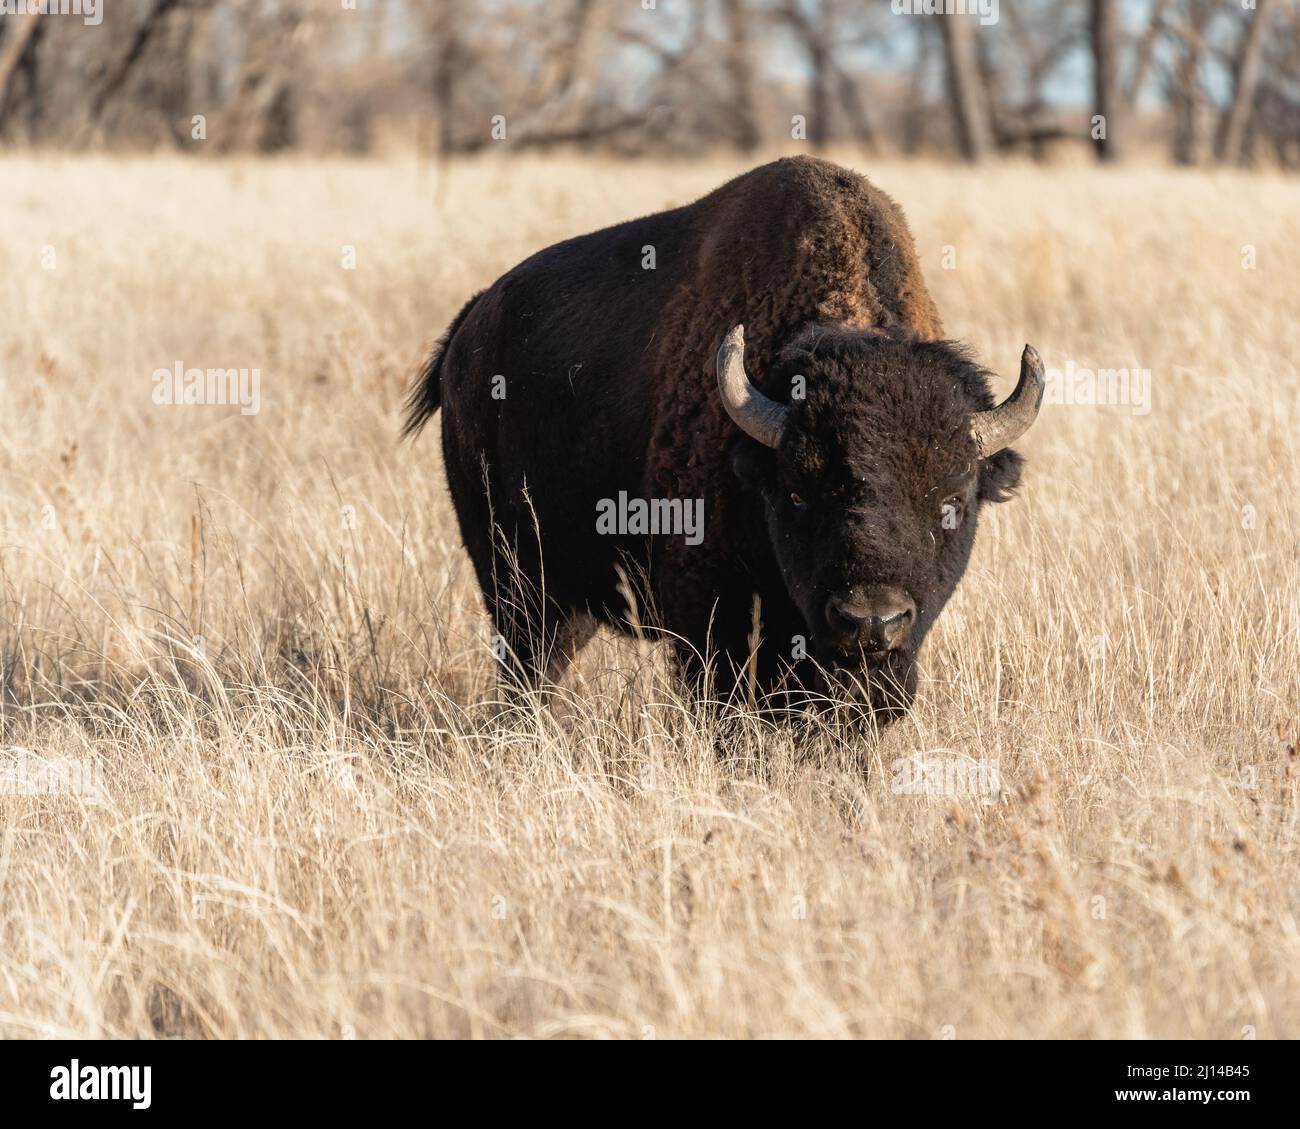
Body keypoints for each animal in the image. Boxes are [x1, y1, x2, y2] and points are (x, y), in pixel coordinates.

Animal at [406, 156, 1043, 721]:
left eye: (952, 502)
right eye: (796, 494)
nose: (870, 621)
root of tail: (468, 329)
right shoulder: (711, 607)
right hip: (512, 574)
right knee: (527, 664)